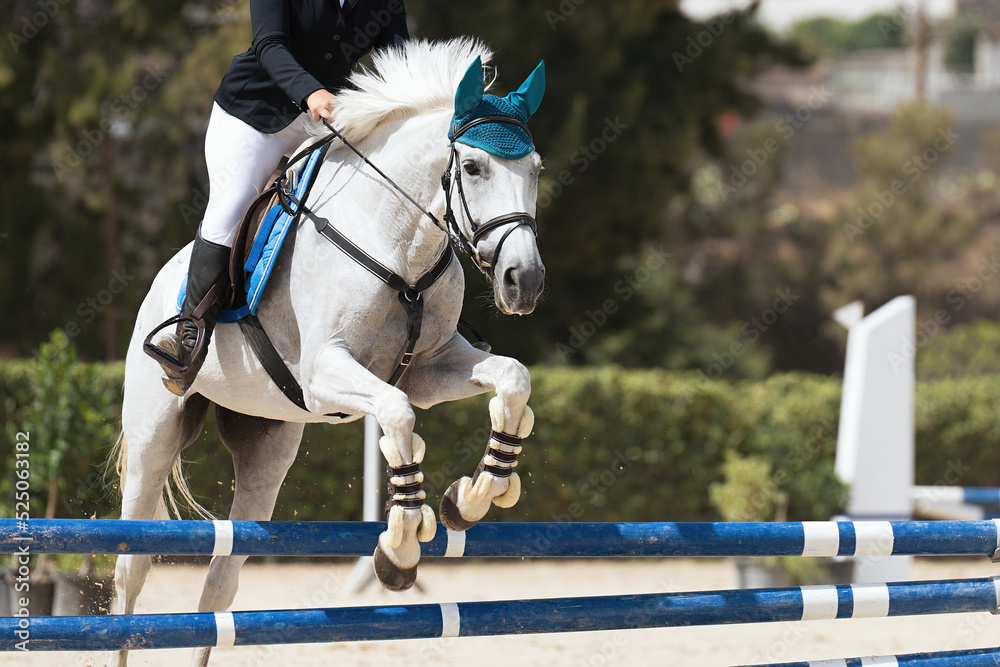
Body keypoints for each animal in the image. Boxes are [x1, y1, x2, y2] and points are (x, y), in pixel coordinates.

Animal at [109, 37, 545, 667]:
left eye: (536, 170)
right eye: (473, 167)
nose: (524, 282)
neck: (397, 238)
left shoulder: (429, 369)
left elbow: (511, 379)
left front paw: (473, 496)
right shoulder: (324, 374)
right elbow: (397, 414)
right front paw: (400, 549)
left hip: (267, 444)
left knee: (221, 581)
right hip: (154, 432)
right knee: (131, 569)